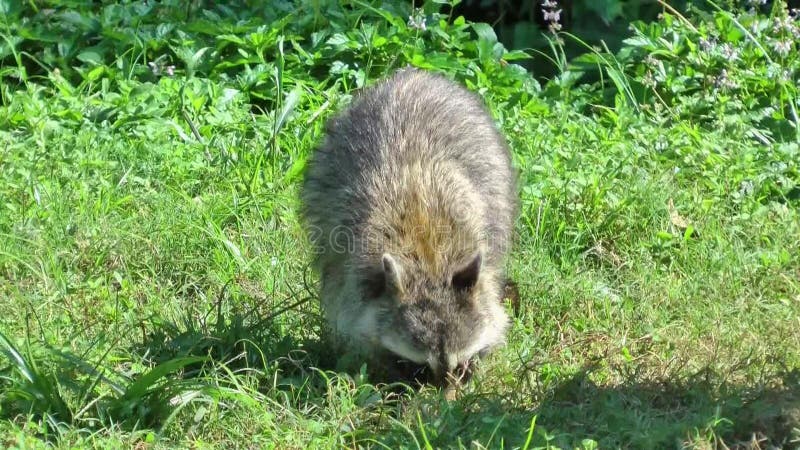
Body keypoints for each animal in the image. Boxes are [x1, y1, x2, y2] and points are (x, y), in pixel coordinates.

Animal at [301, 68, 517, 386]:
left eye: (459, 365)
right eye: (421, 367)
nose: (443, 393)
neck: (428, 259)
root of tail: (413, 74)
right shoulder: (351, 266)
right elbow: (353, 317)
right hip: (325, 166)